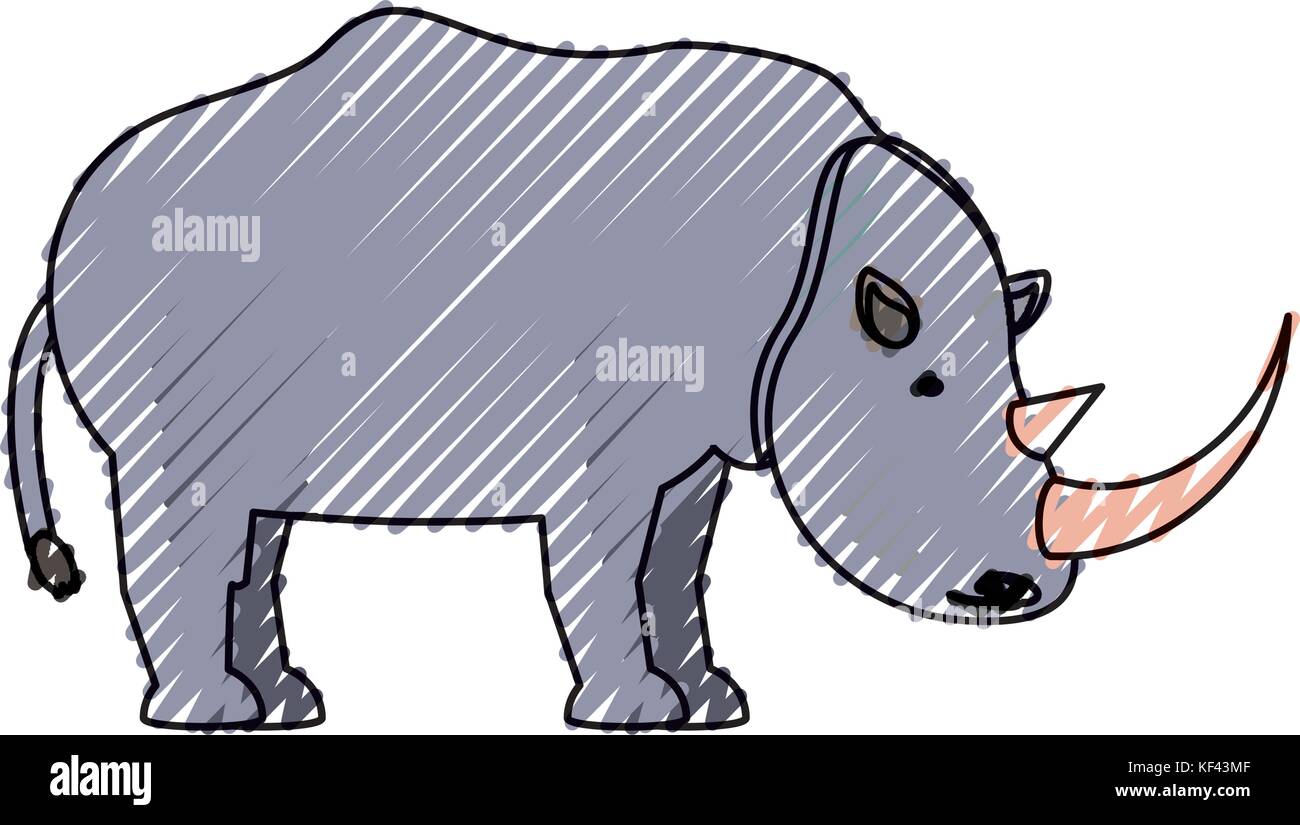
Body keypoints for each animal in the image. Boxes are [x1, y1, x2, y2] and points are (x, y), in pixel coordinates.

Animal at [7, 7, 1292, 731]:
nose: (1015, 594)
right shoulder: (604, 429)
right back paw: (210, 720)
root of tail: (66, 229)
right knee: (184, 493)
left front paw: (712, 707)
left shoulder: (709, 433)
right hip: (151, 292)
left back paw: (289, 709)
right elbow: (603, 562)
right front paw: (631, 717)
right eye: (924, 391)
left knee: (254, 513)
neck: (826, 253)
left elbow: (676, 563)